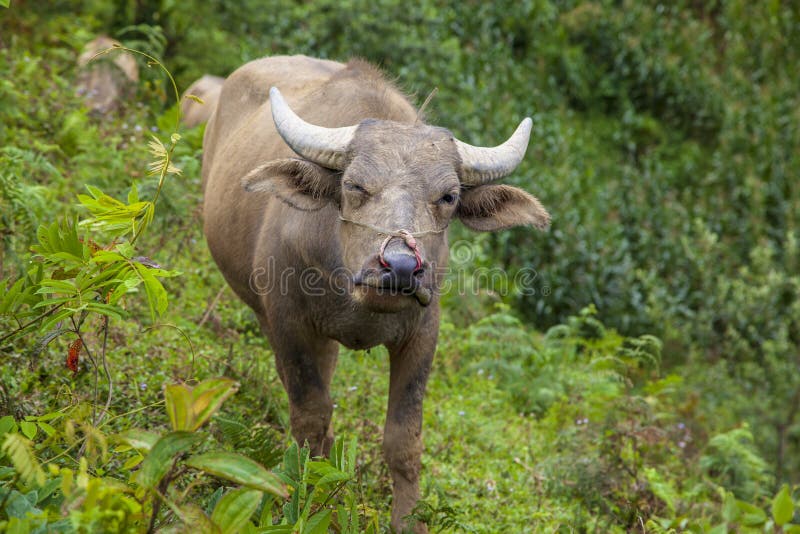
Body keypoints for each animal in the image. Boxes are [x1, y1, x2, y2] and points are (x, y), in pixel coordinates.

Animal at [201, 55, 550, 532]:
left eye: (449, 196)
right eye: (354, 186)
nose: (400, 266)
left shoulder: (423, 333)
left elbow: (403, 440)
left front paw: (408, 521)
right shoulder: (288, 322)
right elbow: (309, 415)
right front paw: (315, 500)